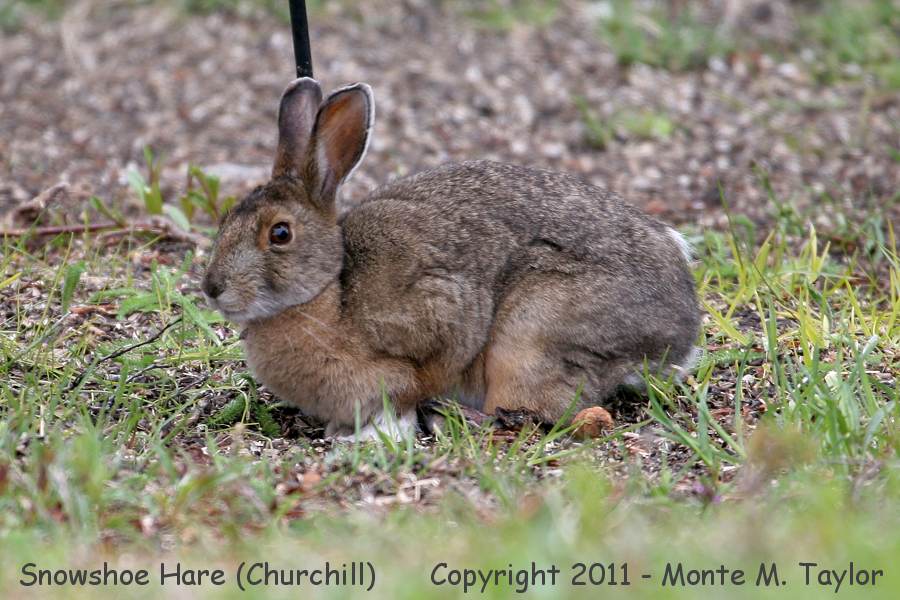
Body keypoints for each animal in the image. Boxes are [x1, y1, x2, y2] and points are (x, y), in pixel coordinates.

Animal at [202, 77, 702, 439]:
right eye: (226, 220)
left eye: (280, 234)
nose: (212, 288)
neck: (329, 288)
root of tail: (678, 337)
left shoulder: (431, 318)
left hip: (531, 334)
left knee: (542, 410)